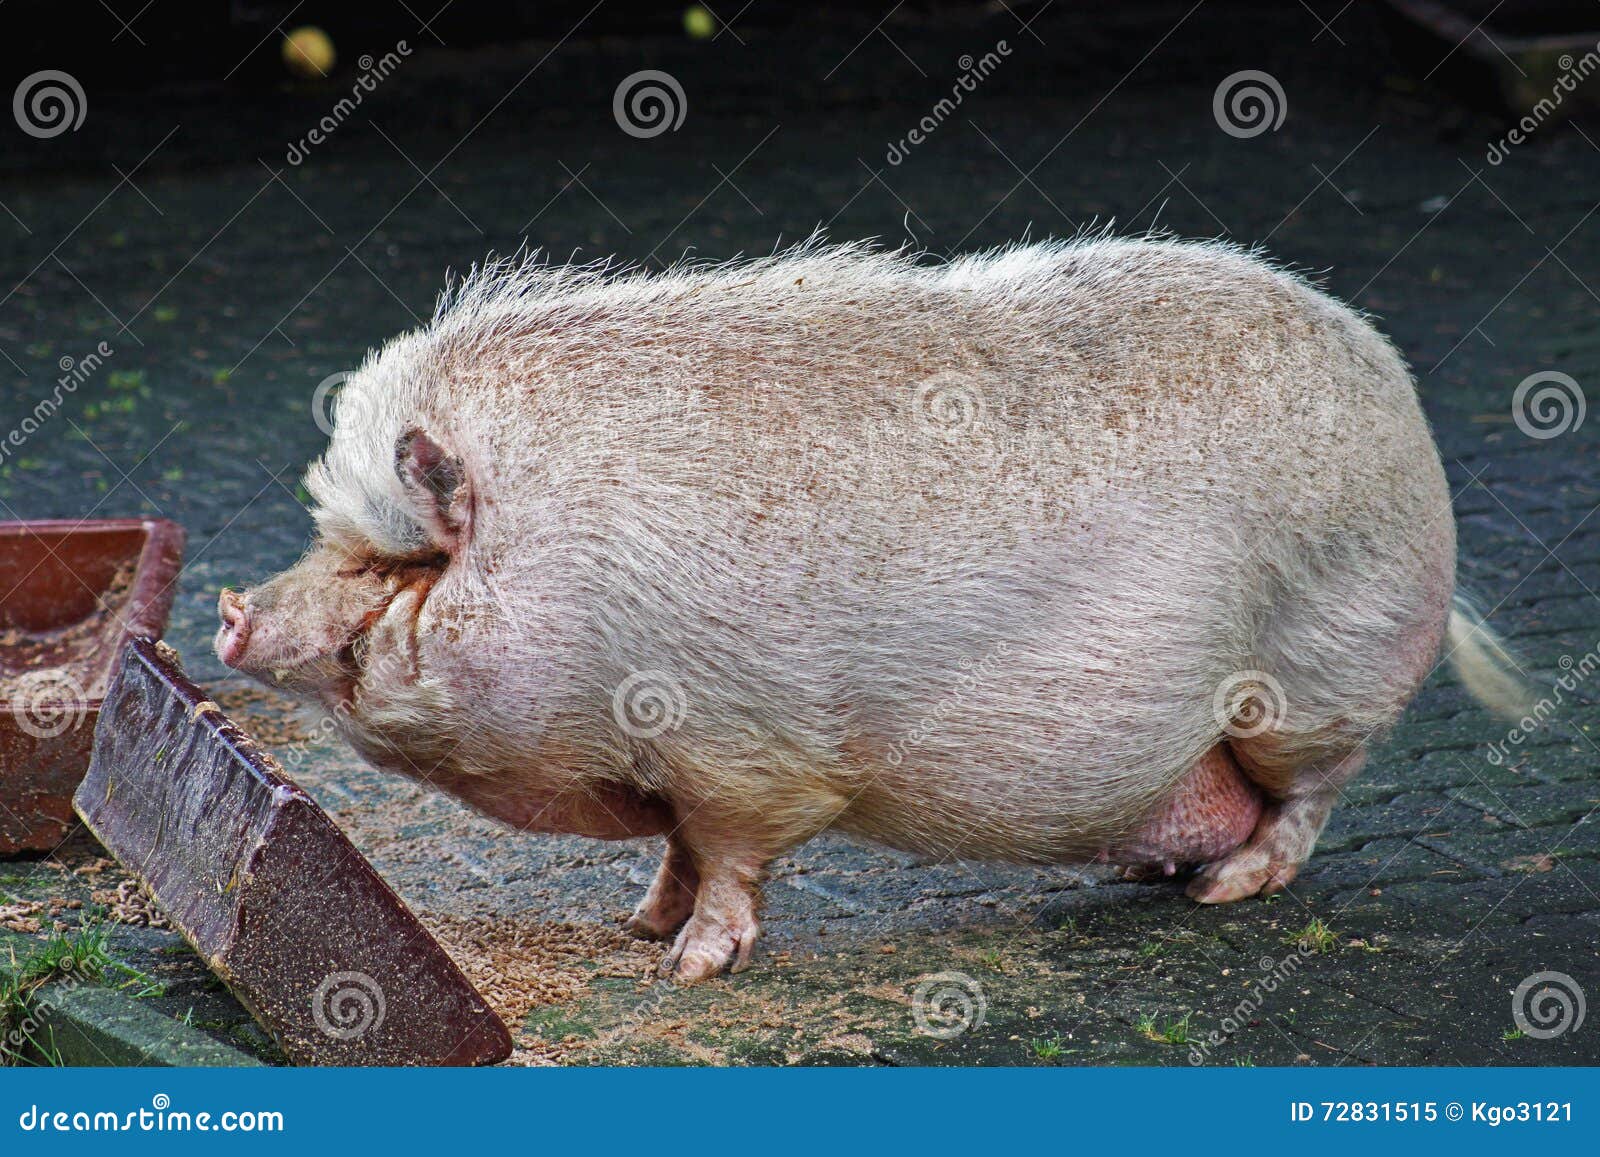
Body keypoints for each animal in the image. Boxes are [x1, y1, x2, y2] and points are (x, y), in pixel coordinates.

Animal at [217, 235, 1528, 983]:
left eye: (394, 566)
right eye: (335, 541)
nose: (230, 609)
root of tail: (1402, 403)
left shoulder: (745, 746)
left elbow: (733, 854)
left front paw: (686, 968)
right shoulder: (679, 766)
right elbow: (678, 848)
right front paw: (635, 925)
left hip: (1320, 668)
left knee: (1310, 798)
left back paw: (1226, 888)